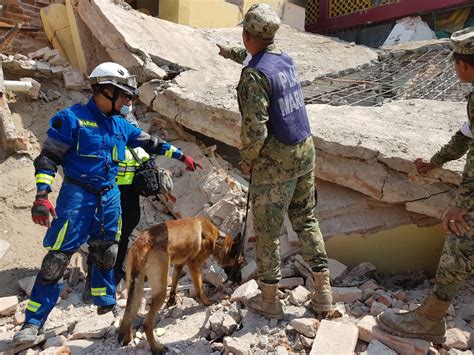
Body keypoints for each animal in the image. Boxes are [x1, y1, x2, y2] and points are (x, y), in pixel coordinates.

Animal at [117, 217, 234, 355]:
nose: (241, 260)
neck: (216, 236)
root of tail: (143, 242)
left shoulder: (179, 264)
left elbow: (174, 284)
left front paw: (172, 301)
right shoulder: (194, 265)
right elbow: (199, 287)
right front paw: (207, 302)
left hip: (134, 286)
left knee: (129, 314)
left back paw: (128, 338)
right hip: (160, 290)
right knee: (147, 324)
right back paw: (156, 348)